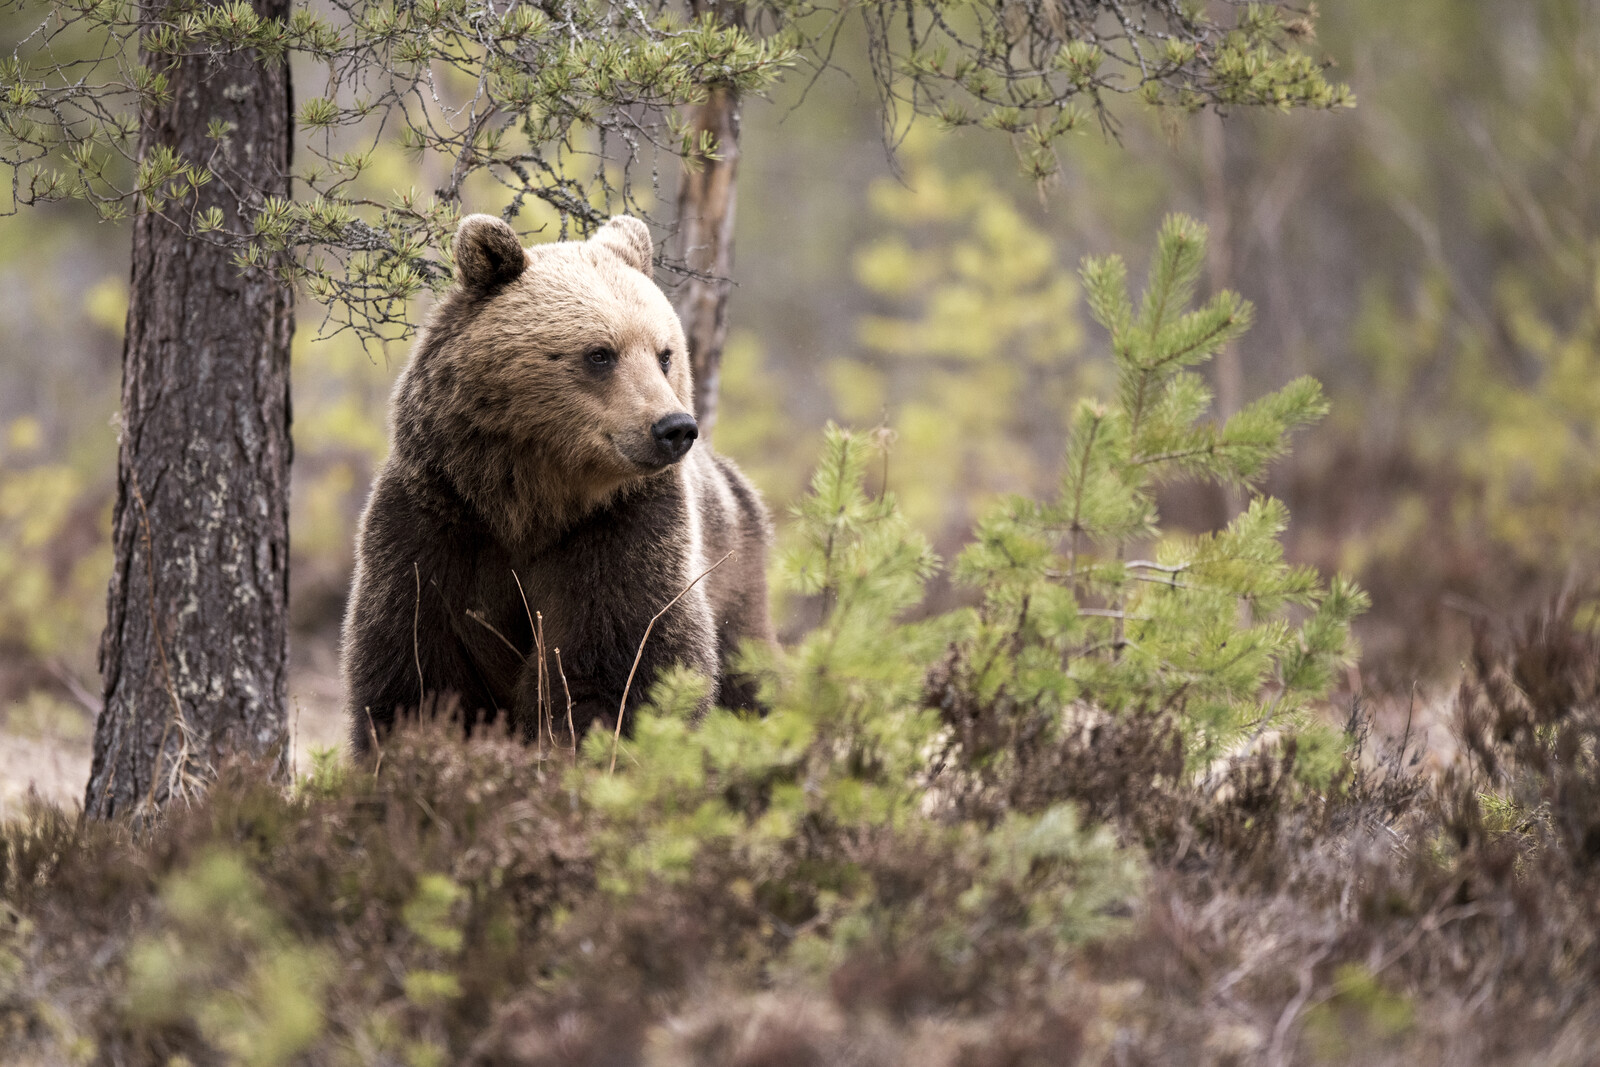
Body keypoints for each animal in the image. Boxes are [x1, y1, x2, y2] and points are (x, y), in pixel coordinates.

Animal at [341, 213, 773, 753]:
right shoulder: (438, 521)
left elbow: (616, 663)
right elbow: (416, 665)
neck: (531, 501)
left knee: (745, 680)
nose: (674, 427)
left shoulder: (620, 531)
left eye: (665, 353)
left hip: (733, 573)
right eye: (600, 354)